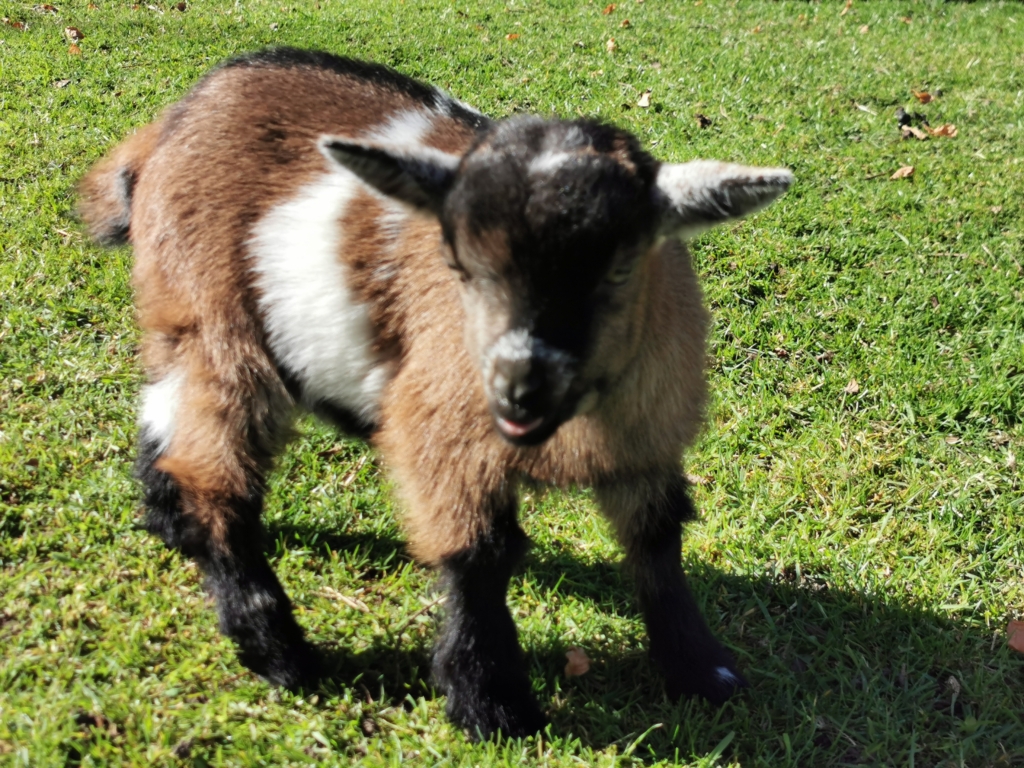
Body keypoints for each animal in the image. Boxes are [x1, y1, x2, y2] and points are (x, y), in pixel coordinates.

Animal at [79, 48, 792, 739]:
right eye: (460, 266)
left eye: (620, 268)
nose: (519, 392)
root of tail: (174, 120)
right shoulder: (442, 433)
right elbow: (481, 556)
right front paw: (490, 703)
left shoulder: (646, 442)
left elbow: (657, 539)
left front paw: (702, 670)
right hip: (216, 320)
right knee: (213, 470)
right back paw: (277, 650)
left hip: (180, 324)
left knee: (166, 414)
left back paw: (171, 525)